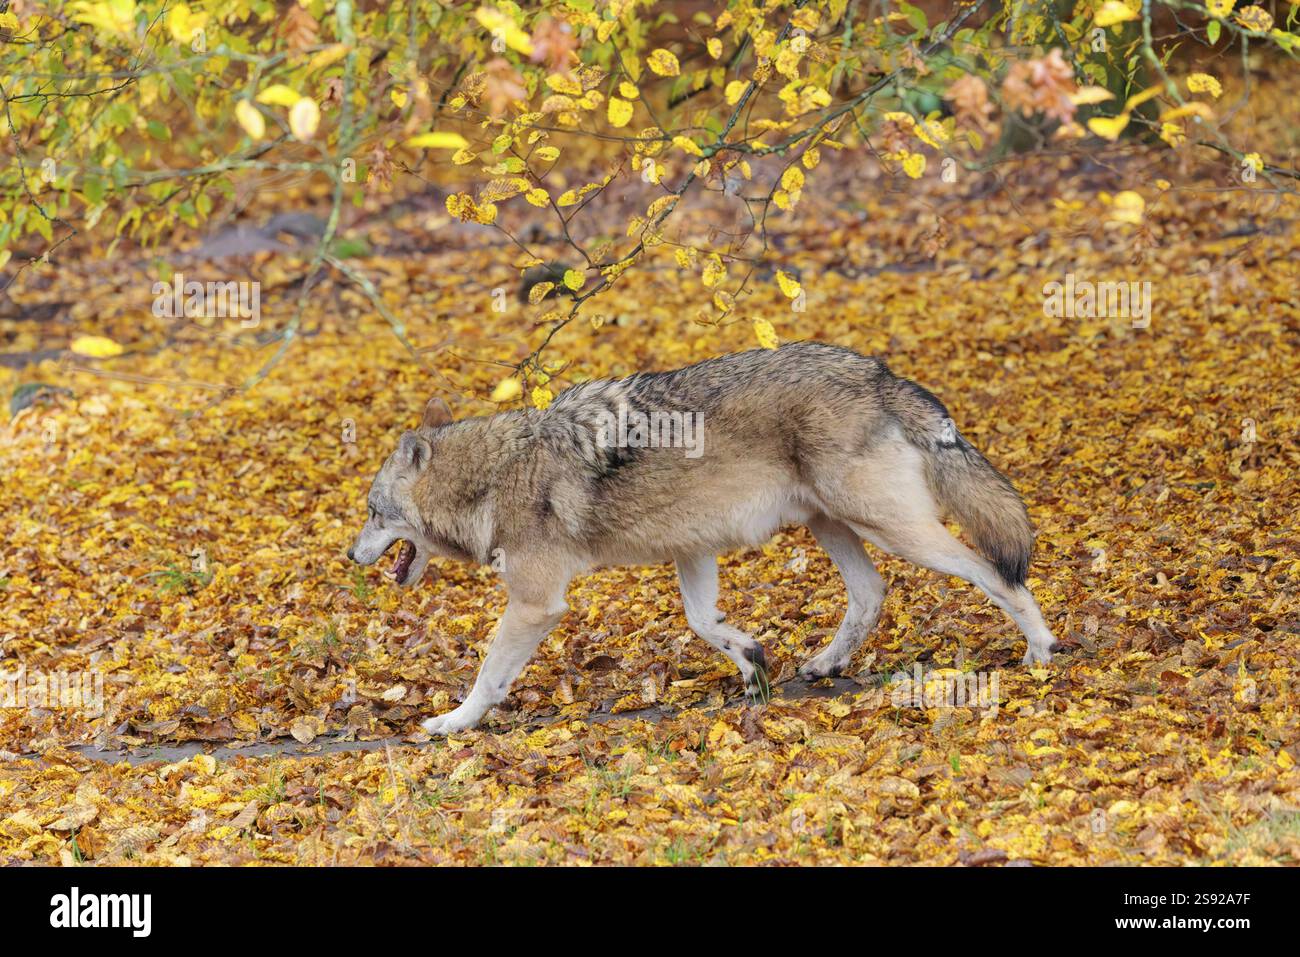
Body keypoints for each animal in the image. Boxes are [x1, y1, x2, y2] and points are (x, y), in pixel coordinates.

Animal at [347, 342, 1060, 735]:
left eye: (374, 514)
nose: (350, 555)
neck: (495, 475)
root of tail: (880, 374)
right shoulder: (692, 551)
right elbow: (704, 623)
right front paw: (752, 662)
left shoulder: (535, 604)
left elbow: (488, 677)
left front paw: (452, 723)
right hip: (832, 524)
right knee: (870, 595)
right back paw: (825, 665)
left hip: (893, 529)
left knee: (998, 574)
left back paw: (1040, 651)